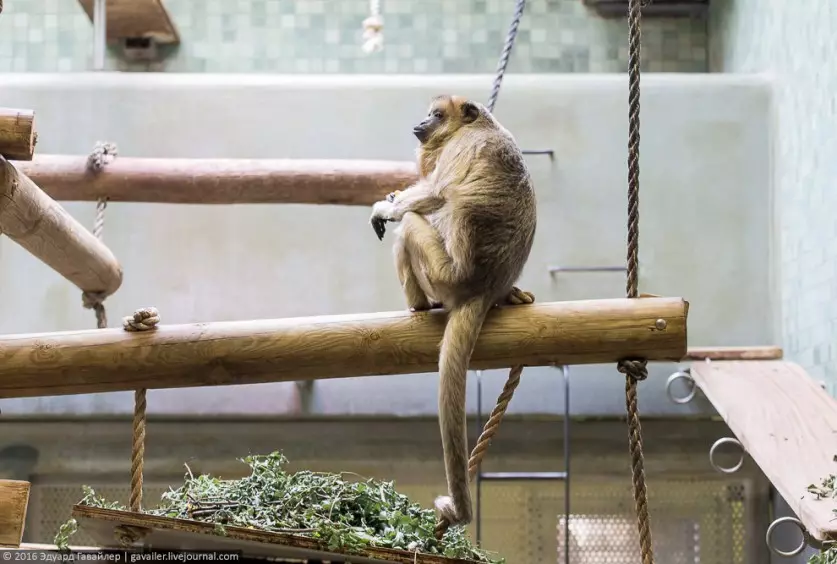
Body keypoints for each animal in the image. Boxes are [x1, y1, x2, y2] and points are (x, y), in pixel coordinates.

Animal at [370, 93, 540, 528]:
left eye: (435, 115)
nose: (420, 122)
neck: (477, 125)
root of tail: (483, 287)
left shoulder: (460, 148)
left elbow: (436, 194)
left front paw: (386, 207)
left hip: (441, 273)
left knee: (411, 226)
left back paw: (417, 304)